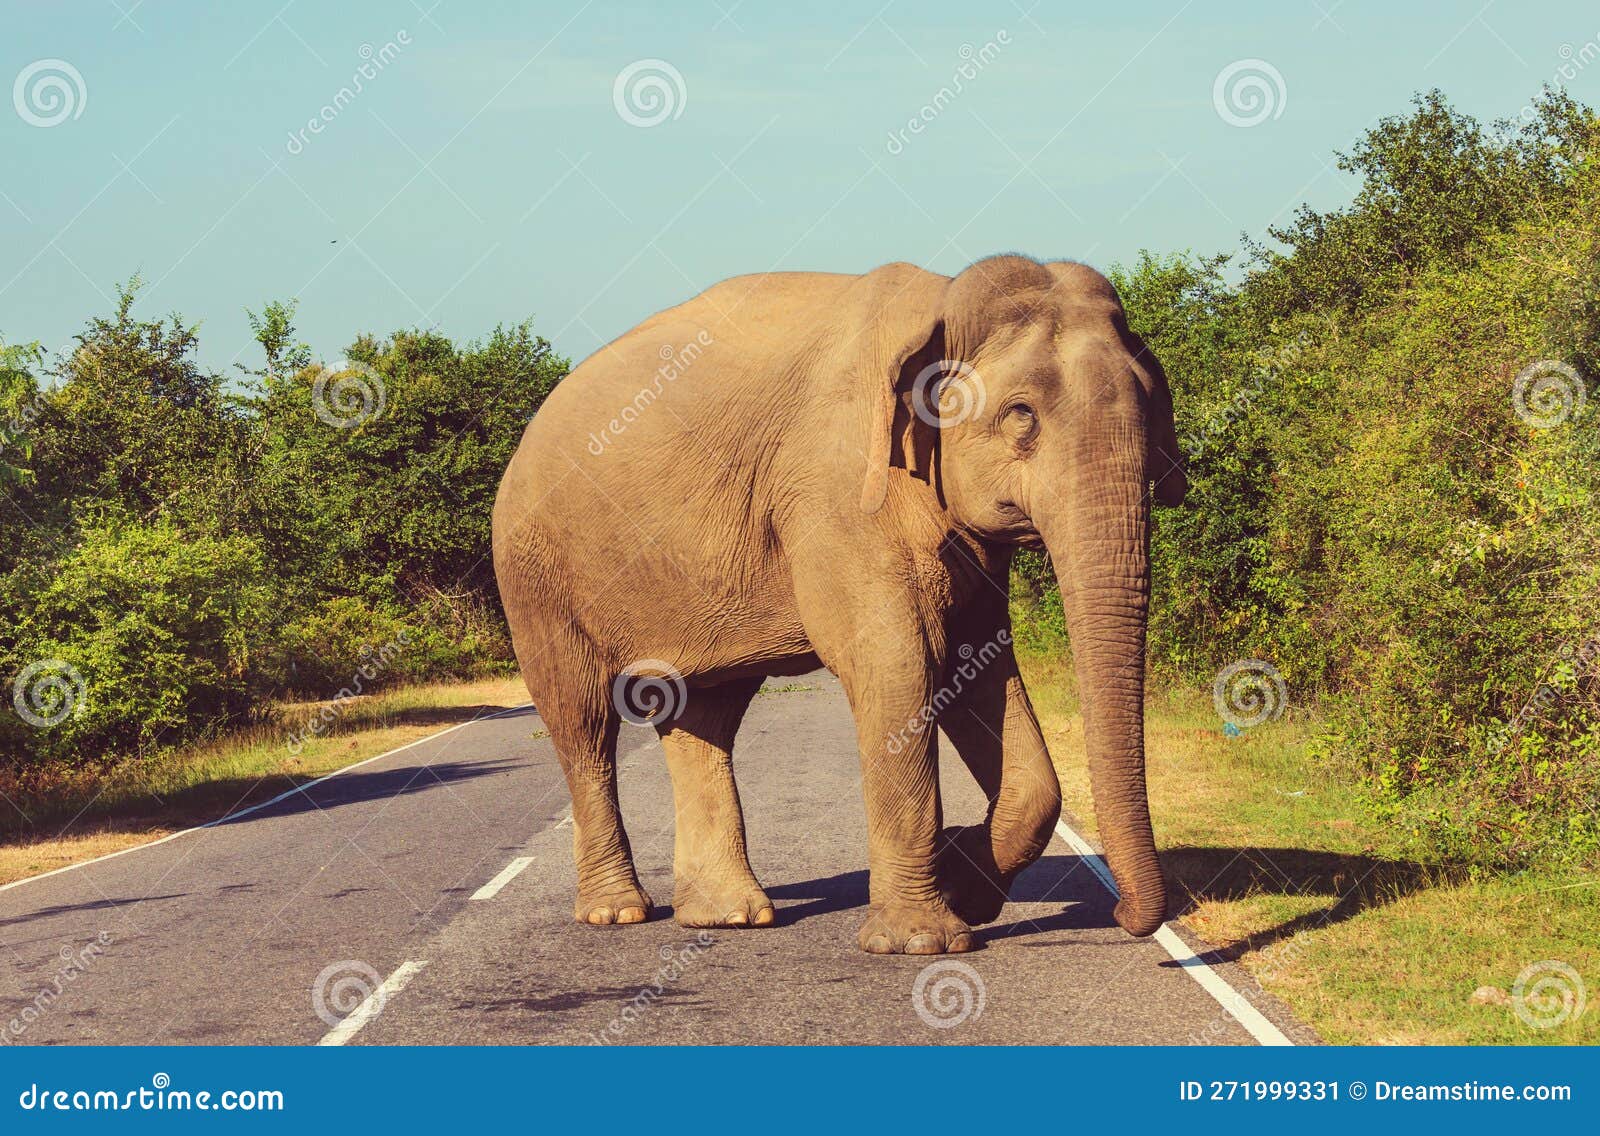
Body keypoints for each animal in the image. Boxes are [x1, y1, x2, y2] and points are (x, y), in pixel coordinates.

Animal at [491, 254, 1186, 955]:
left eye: (1152, 408)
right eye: (1022, 414)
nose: (1124, 915)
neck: (939, 305)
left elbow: (976, 669)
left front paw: (963, 886)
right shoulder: (838, 491)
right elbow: (901, 665)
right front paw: (922, 941)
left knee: (704, 715)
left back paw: (728, 917)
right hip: (535, 571)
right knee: (582, 720)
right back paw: (619, 913)